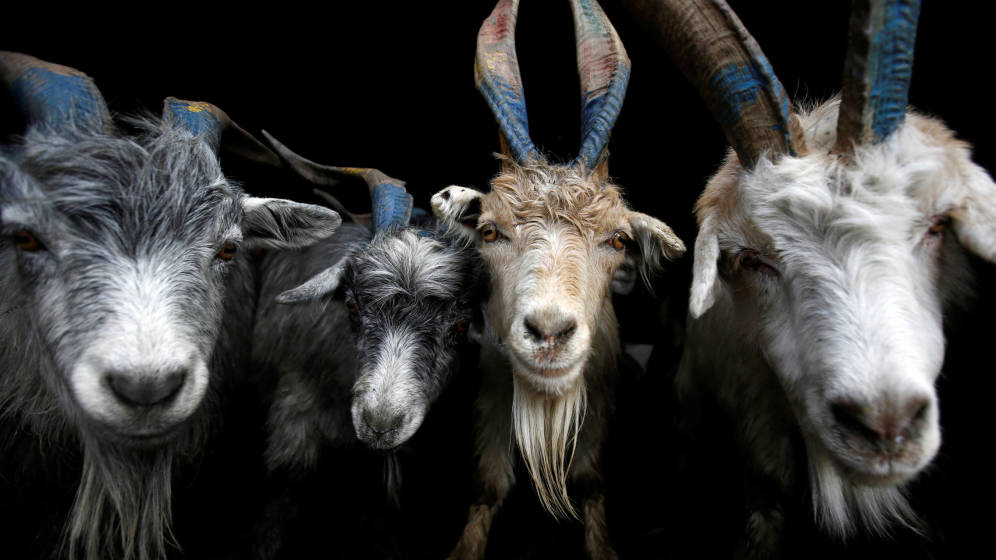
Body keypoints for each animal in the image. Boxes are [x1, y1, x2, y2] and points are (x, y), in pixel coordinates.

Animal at [430, 1, 685, 558]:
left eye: (618, 239)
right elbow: (488, 484)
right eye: (490, 230)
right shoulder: (493, 389)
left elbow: (589, 481)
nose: (549, 333)